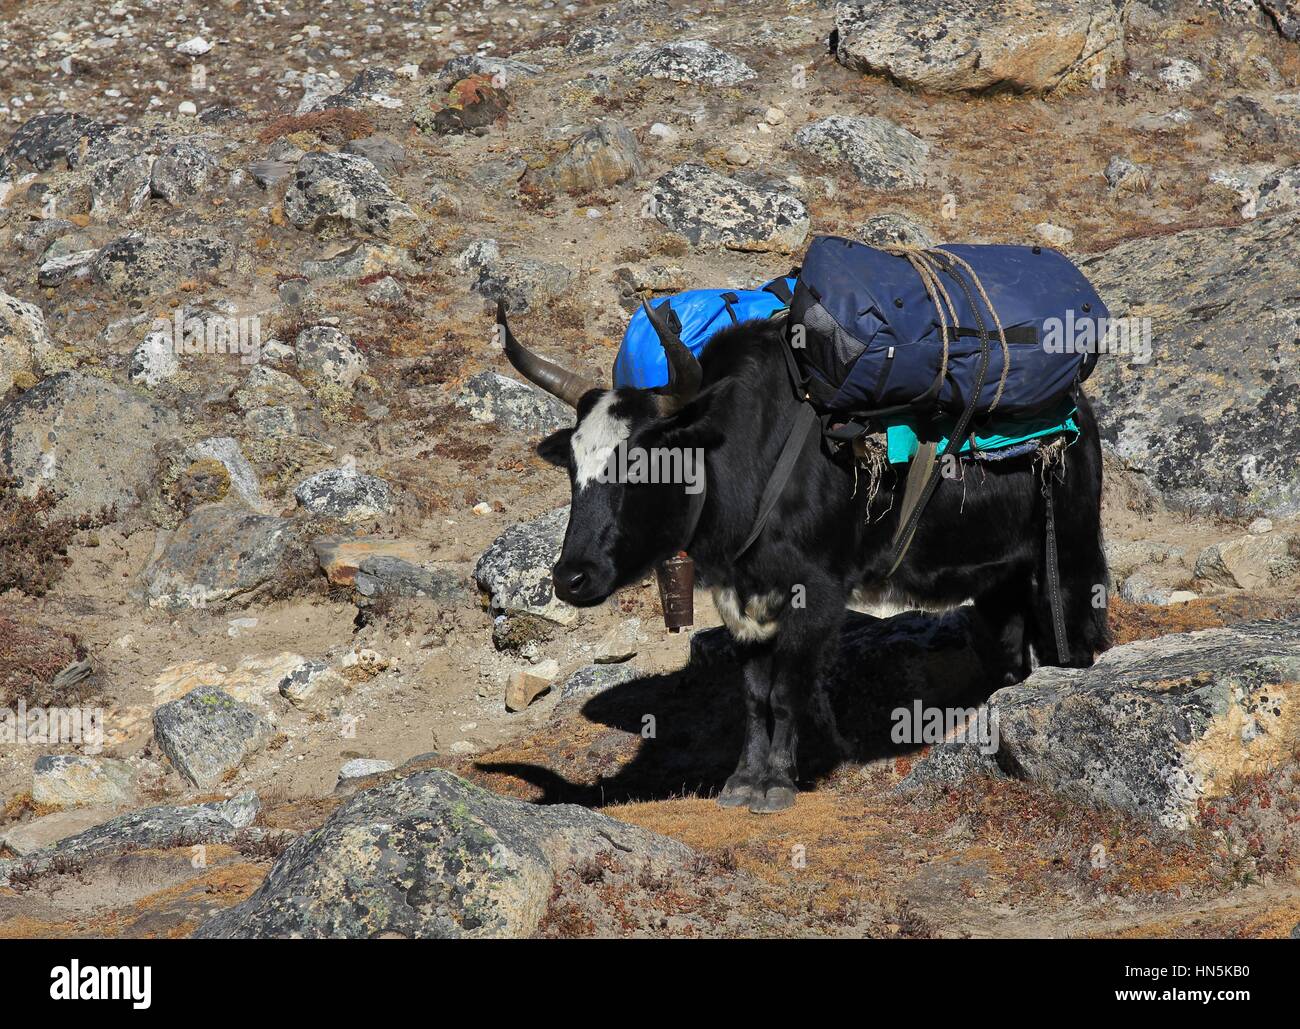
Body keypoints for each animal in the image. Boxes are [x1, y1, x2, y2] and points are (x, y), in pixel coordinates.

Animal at [496, 300, 1110, 813]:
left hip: (1070, 551)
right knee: (1008, 648)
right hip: (998, 578)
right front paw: (741, 781)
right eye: (573, 468)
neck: (744, 456)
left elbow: (786, 690)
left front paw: (775, 786)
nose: (571, 578)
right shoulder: (739, 600)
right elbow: (753, 694)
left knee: (1074, 637)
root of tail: (1078, 408)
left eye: (645, 462)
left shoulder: (815, 594)